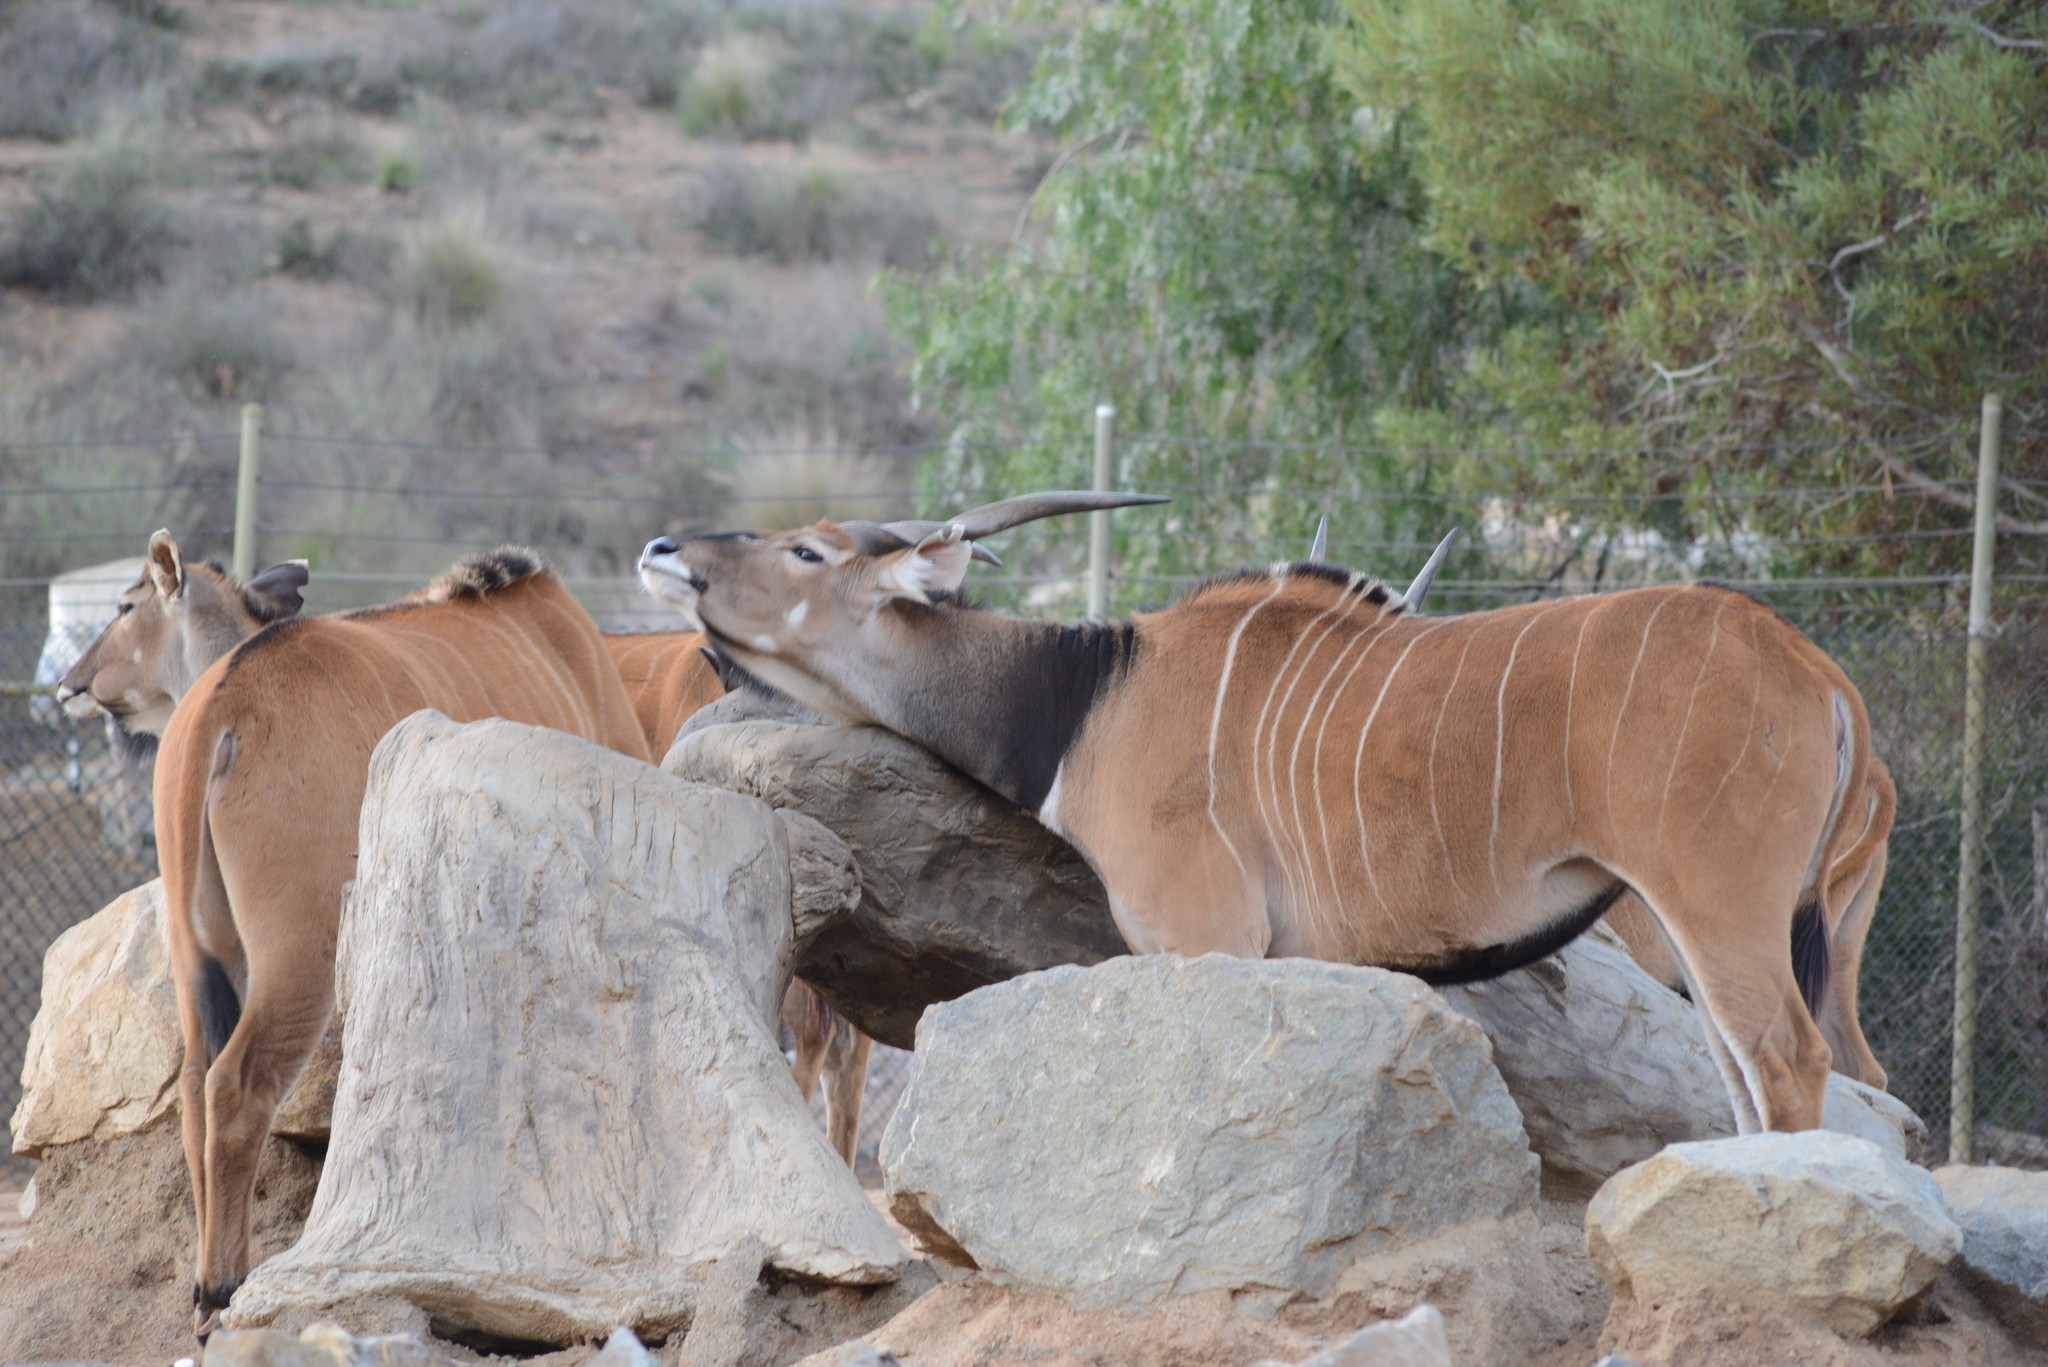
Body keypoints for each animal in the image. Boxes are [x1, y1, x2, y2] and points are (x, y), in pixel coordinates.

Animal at [639, 492, 1890, 1135]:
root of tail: (1824, 679)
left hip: (1717, 905)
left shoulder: (1206, 937)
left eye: (805, 547)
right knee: (1768, 1070)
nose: (660, 543)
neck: (1087, 691)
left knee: (1788, 1058)